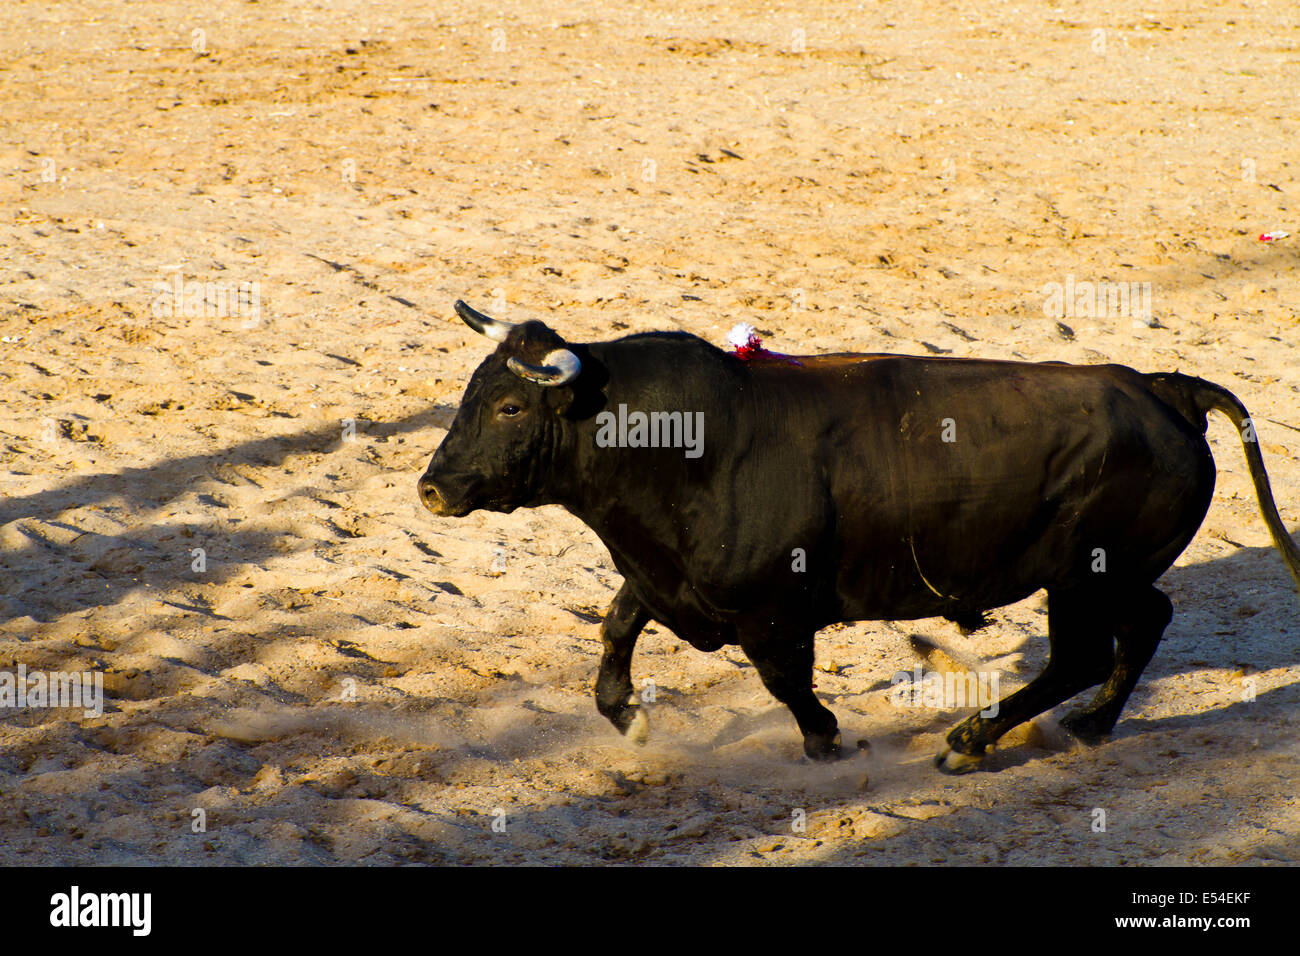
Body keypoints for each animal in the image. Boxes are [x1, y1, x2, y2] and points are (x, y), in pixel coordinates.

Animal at [419, 300, 1300, 773]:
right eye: (469, 394)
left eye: (509, 407)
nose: (432, 488)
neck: (686, 444)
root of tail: (1163, 389)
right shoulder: (664, 577)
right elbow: (613, 631)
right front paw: (629, 719)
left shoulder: (772, 616)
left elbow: (785, 684)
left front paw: (826, 741)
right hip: (1111, 577)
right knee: (1144, 625)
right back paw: (1089, 727)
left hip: (1084, 576)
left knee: (1082, 654)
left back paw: (971, 740)